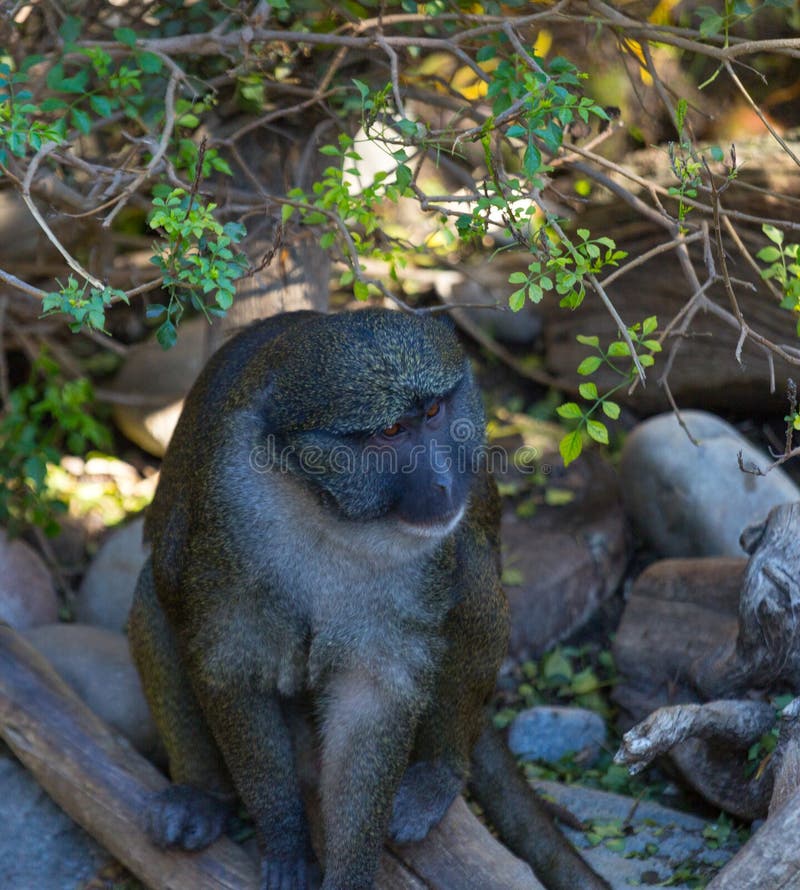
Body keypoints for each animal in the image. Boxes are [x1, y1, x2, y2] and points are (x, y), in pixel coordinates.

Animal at [128, 308, 609, 890]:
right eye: (390, 431)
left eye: (433, 412)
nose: (444, 483)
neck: (322, 503)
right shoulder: (230, 504)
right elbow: (230, 666)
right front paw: (285, 841)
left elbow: (373, 700)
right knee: (157, 592)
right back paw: (202, 793)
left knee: (472, 574)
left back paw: (438, 774)